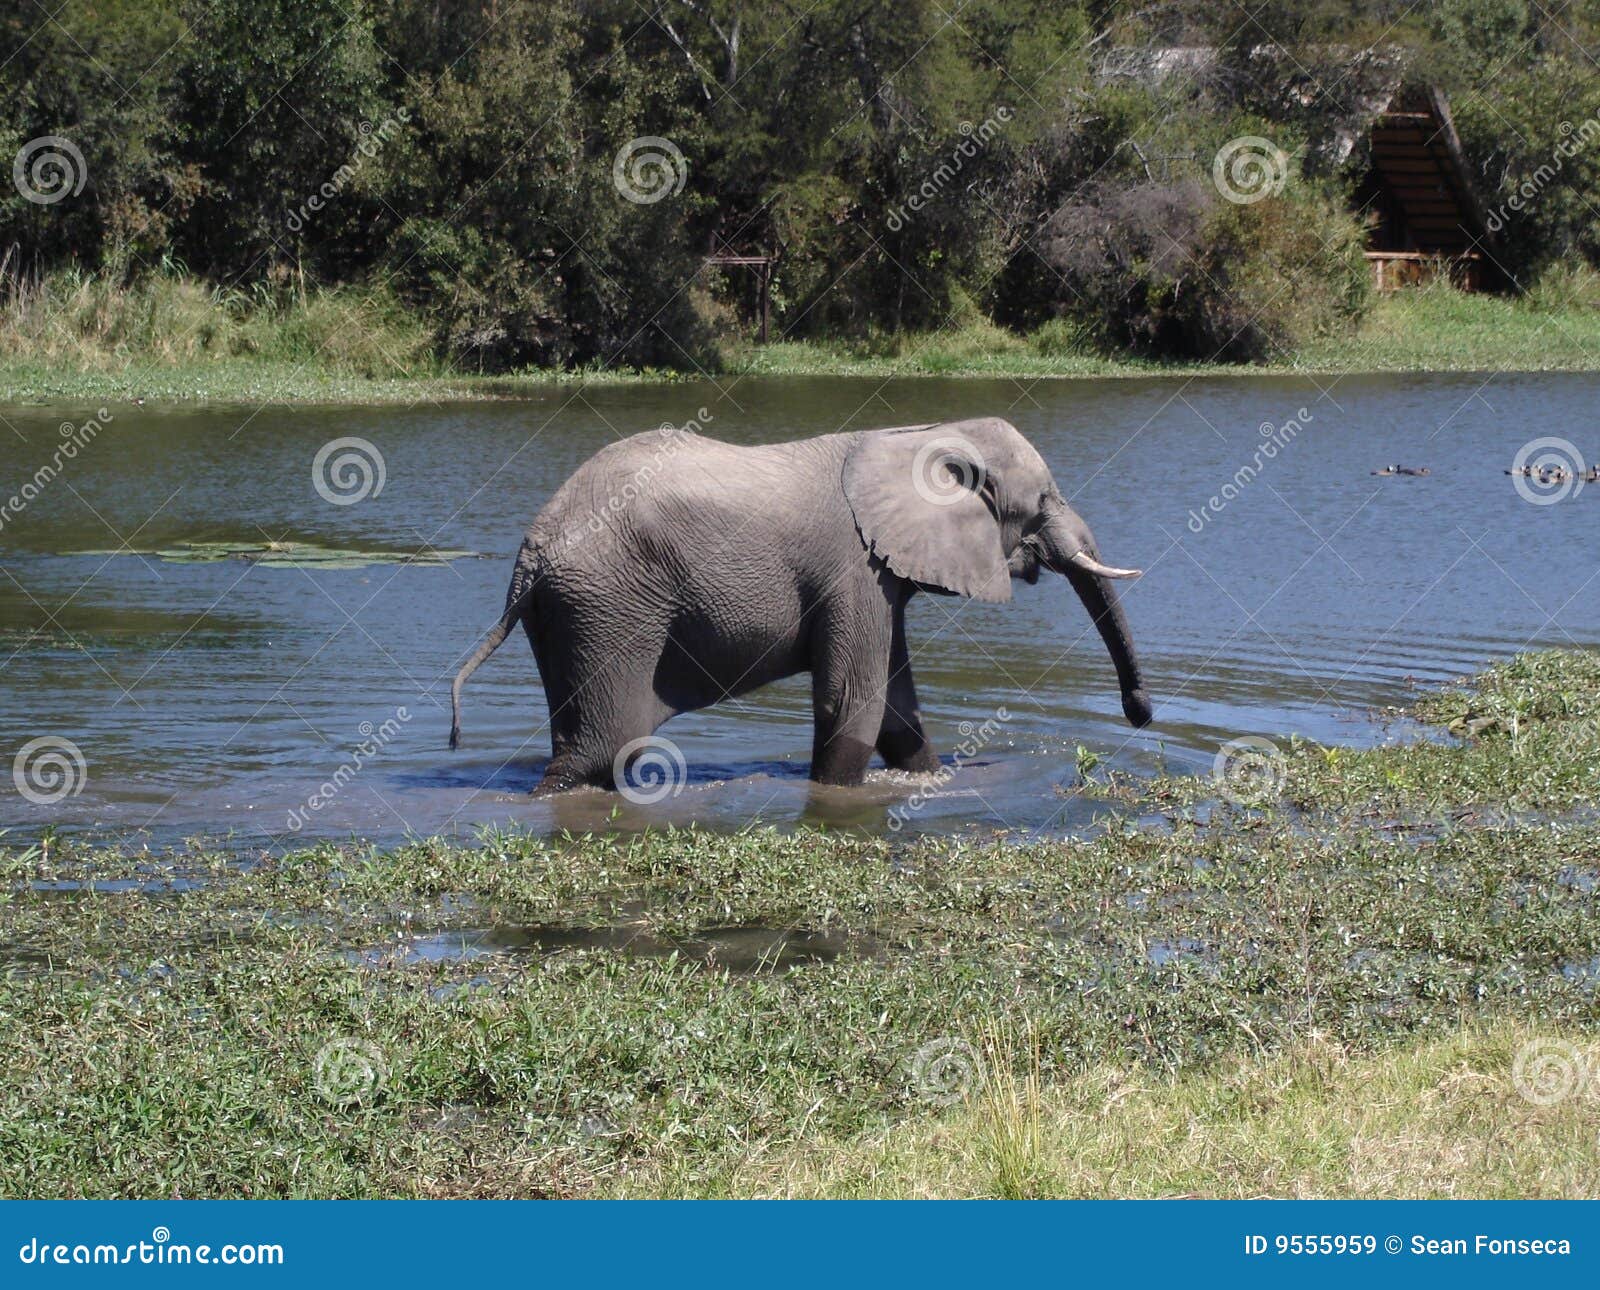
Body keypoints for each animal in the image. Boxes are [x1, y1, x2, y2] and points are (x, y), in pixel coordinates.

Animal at [450, 416, 1152, 794]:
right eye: (1043, 502)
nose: (1139, 714)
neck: (921, 432)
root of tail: (528, 559)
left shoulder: (881, 577)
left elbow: (898, 711)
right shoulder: (855, 570)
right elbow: (853, 705)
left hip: (570, 615)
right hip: (606, 610)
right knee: (600, 750)